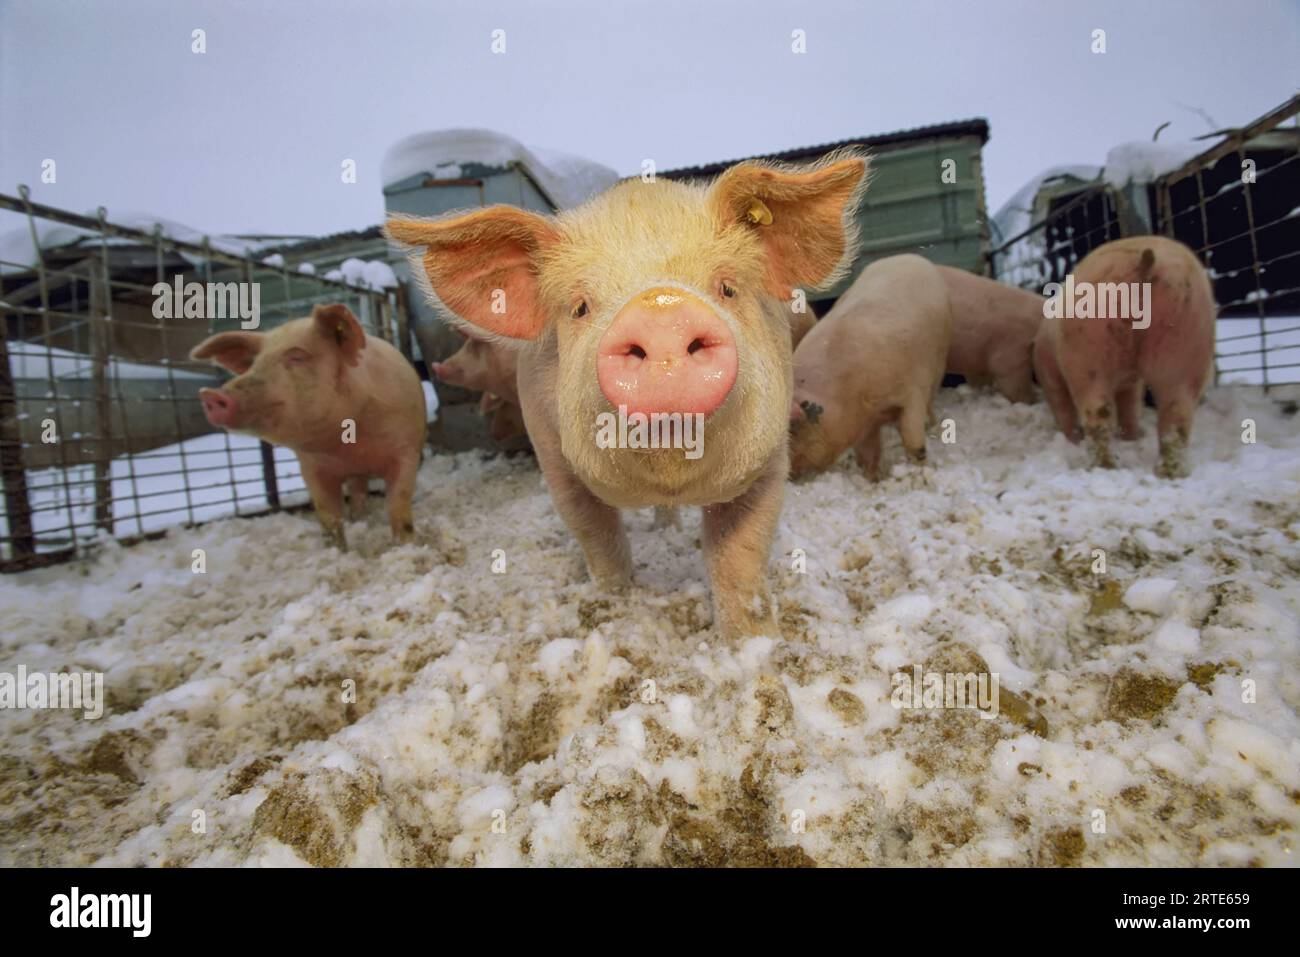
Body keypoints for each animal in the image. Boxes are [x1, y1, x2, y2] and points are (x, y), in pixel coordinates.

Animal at [189, 303, 426, 549]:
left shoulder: (406, 451)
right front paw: (336, 550)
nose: (210, 394)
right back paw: (359, 519)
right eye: (255, 363)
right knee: (357, 491)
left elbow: (398, 507)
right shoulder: (311, 467)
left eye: (297, 357)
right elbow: (328, 515)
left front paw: (406, 545)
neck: (350, 445)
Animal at [386, 150, 869, 638]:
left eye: (728, 288)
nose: (662, 308)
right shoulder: (555, 463)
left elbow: (739, 557)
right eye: (580, 307)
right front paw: (614, 604)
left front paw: (753, 641)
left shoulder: (769, 459)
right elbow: (598, 538)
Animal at [788, 254, 953, 480]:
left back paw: (933, 426)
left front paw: (922, 466)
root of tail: (909, 257)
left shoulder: (913, 389)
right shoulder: (863, 423)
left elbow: (912, 435)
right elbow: (868, 454)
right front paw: (873, 478)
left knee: (931, 399)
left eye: (793, 430)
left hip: (940, 359)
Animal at [1032, 236, 1215, 478]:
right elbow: (1129, 404)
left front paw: (1074, 439)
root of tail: (1146, 262)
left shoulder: (1050, 375)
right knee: (1177, 415)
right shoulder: (1131, 381)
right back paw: (1170, 472)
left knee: (1098, 411)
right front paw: (1129, 438)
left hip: (1088, 351)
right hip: (1188, 341)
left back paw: (1103, 466)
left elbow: (1062, 407)